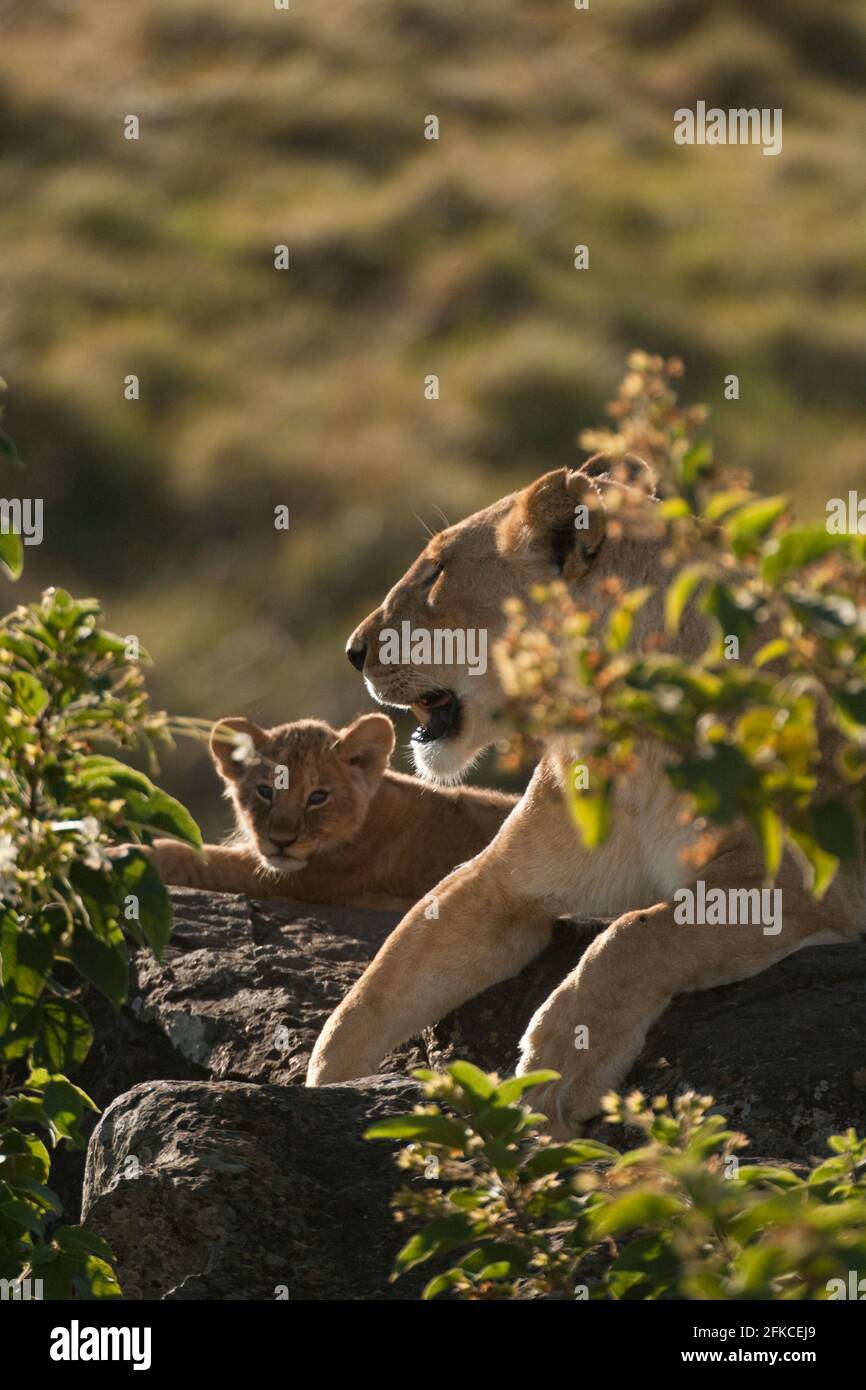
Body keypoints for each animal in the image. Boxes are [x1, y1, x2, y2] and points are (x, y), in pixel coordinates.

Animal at [306, 457, 863, 1134]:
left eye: (436, 573)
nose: (353, 652)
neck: (620, 741)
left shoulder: (803, 879)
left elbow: (638, 932)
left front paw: (561, 1060)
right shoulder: (499, 880)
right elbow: (388, 972)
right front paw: (324, 1084)